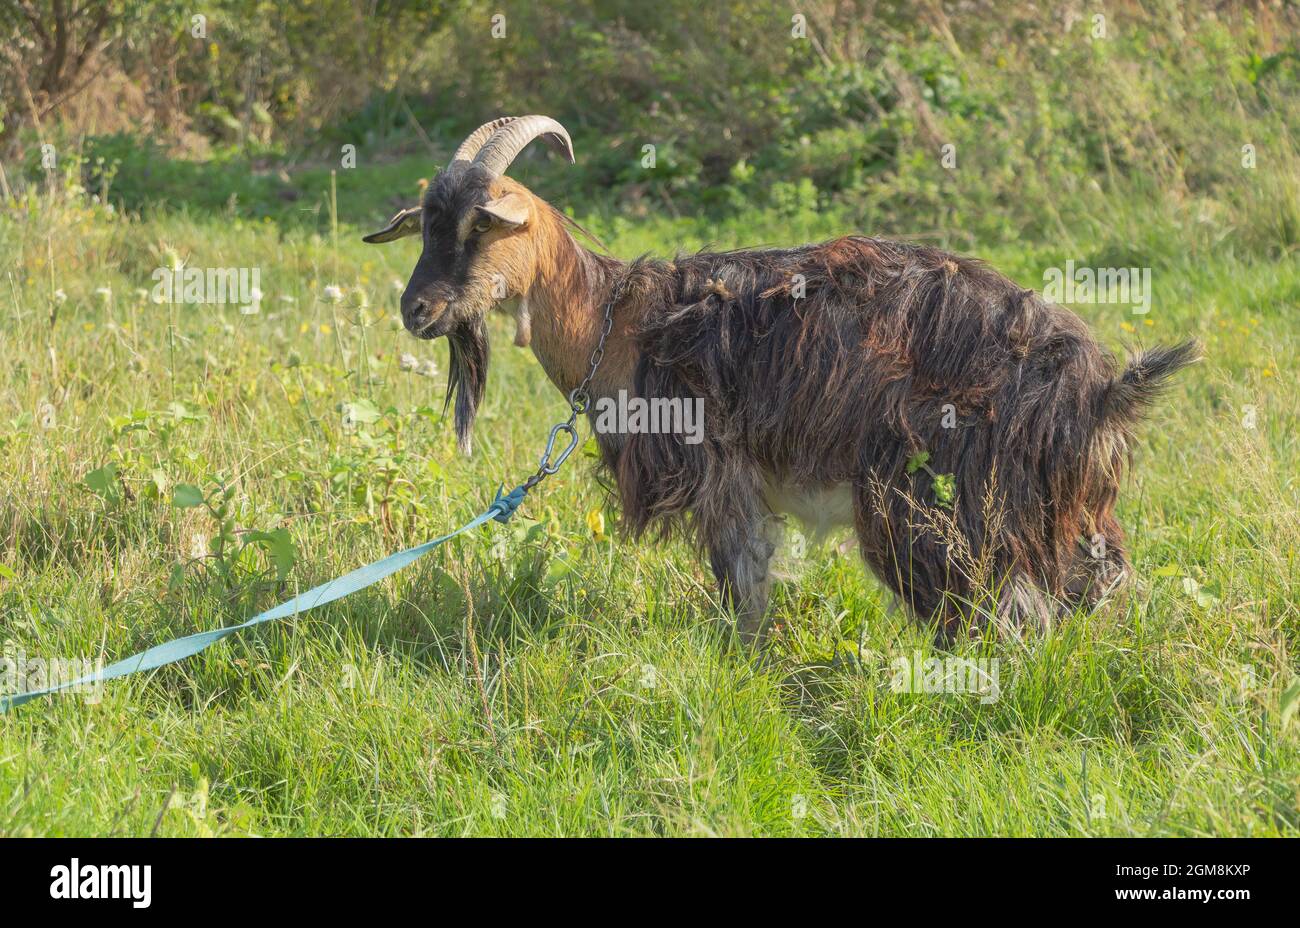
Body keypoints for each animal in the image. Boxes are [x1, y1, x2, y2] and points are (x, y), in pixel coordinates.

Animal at [365, 114, 1200, 645]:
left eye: (479, 225)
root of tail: (1095, 387)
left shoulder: (719, 471)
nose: (416, 309)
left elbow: (741, 580)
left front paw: (744, 660)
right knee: (1093, 583)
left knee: (1003, 612)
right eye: (424, 225)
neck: (615, 317)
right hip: (1066, 510)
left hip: (942, 496)